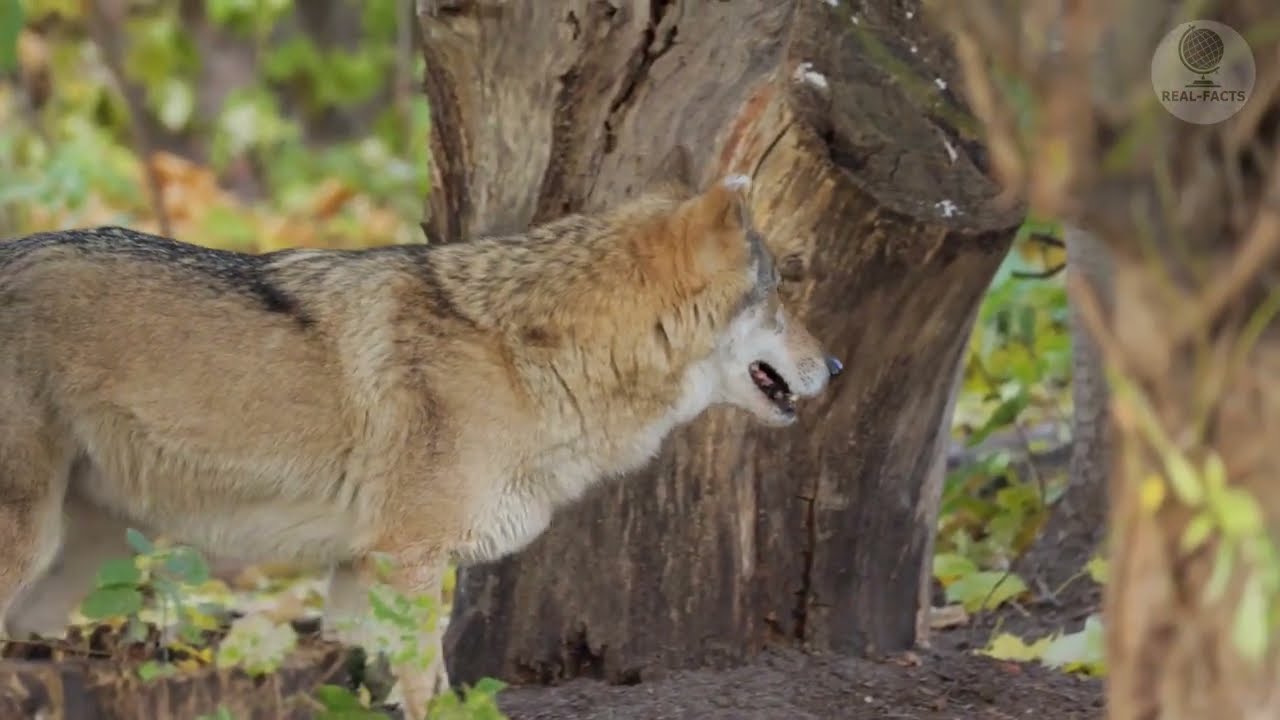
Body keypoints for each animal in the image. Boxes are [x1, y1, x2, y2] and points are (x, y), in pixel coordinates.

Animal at [0, 172, 840, 717]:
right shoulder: (409, 563)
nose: (832, 367)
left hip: (82, 559)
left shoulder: (355, 574)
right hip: (34, 541)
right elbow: (428, 693)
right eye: (778, 296)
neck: (526, 354)